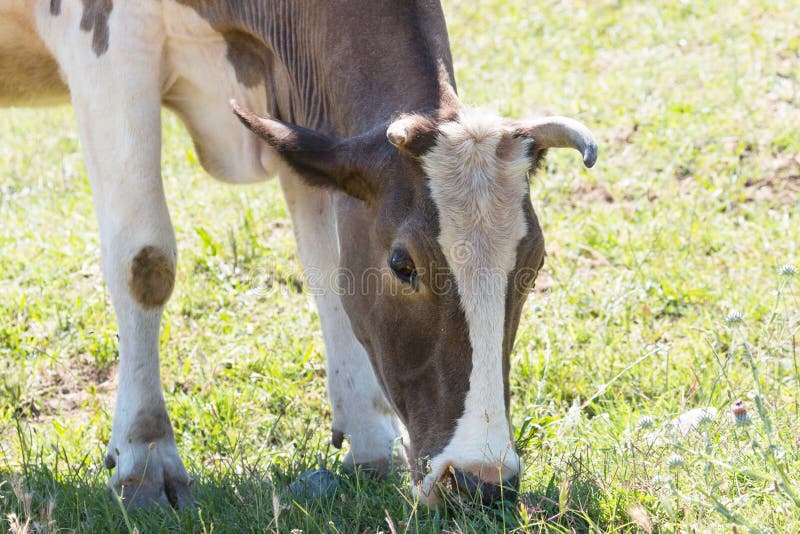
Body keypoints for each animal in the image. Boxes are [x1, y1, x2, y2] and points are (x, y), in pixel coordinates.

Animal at [0, 0, 597, 509]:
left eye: (535, 265)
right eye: (403, 265)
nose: (481, 479)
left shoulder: (299, 105)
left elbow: (328, 265)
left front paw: (369, 442)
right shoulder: (109, 49)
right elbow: (144, 260)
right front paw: (145, 459)